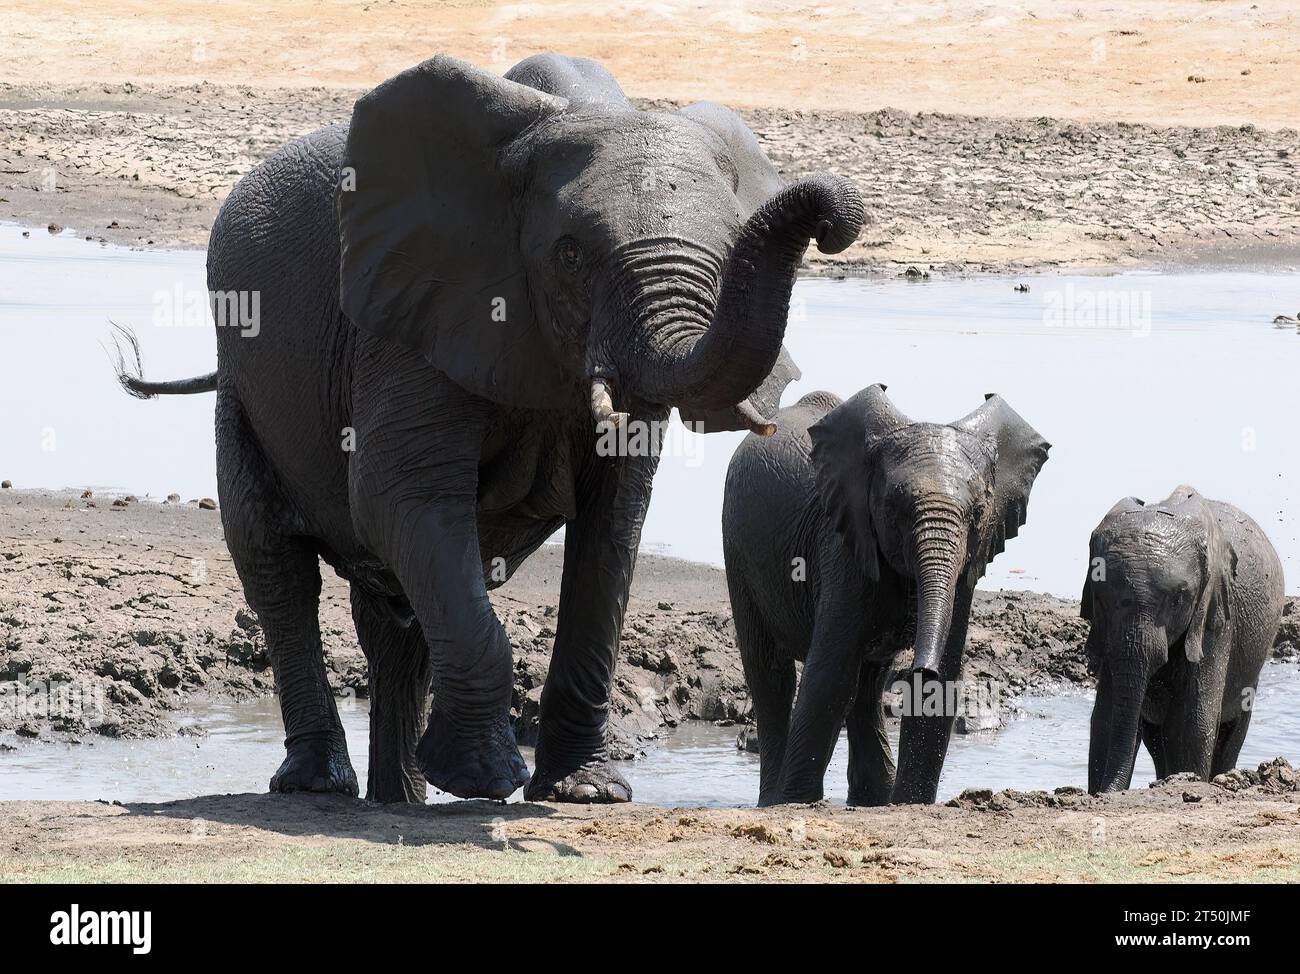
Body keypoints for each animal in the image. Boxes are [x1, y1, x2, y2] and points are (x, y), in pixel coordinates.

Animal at [113, 52, 864, 804]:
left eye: (730, 252)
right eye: (570, 255)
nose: (833, 214)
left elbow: (613, 525)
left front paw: (584, 792)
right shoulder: (410, 310)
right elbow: (397, 496)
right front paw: (484, 782)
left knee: (396, 615)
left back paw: (400, 799)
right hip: (243, 383)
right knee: (277, 562)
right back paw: (319, 786)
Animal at [721, 385, 1049, 805]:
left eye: (978, 512)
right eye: (895, 508)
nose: (920, 667)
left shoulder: (967, 568)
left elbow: (940, 682)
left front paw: (909, 803)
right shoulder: (844, 543)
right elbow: (830, 669)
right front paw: (796, 802)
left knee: (866, 684)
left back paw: (870, 799)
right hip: (738, 548)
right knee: (771, 674)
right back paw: (772, 802)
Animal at [1081, 486, 1284, 793]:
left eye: (1179, 599)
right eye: (1100, 599)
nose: (1108, 792)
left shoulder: (1215, 615)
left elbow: (1191, 724)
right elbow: (1105, 718)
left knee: (1232, 728)